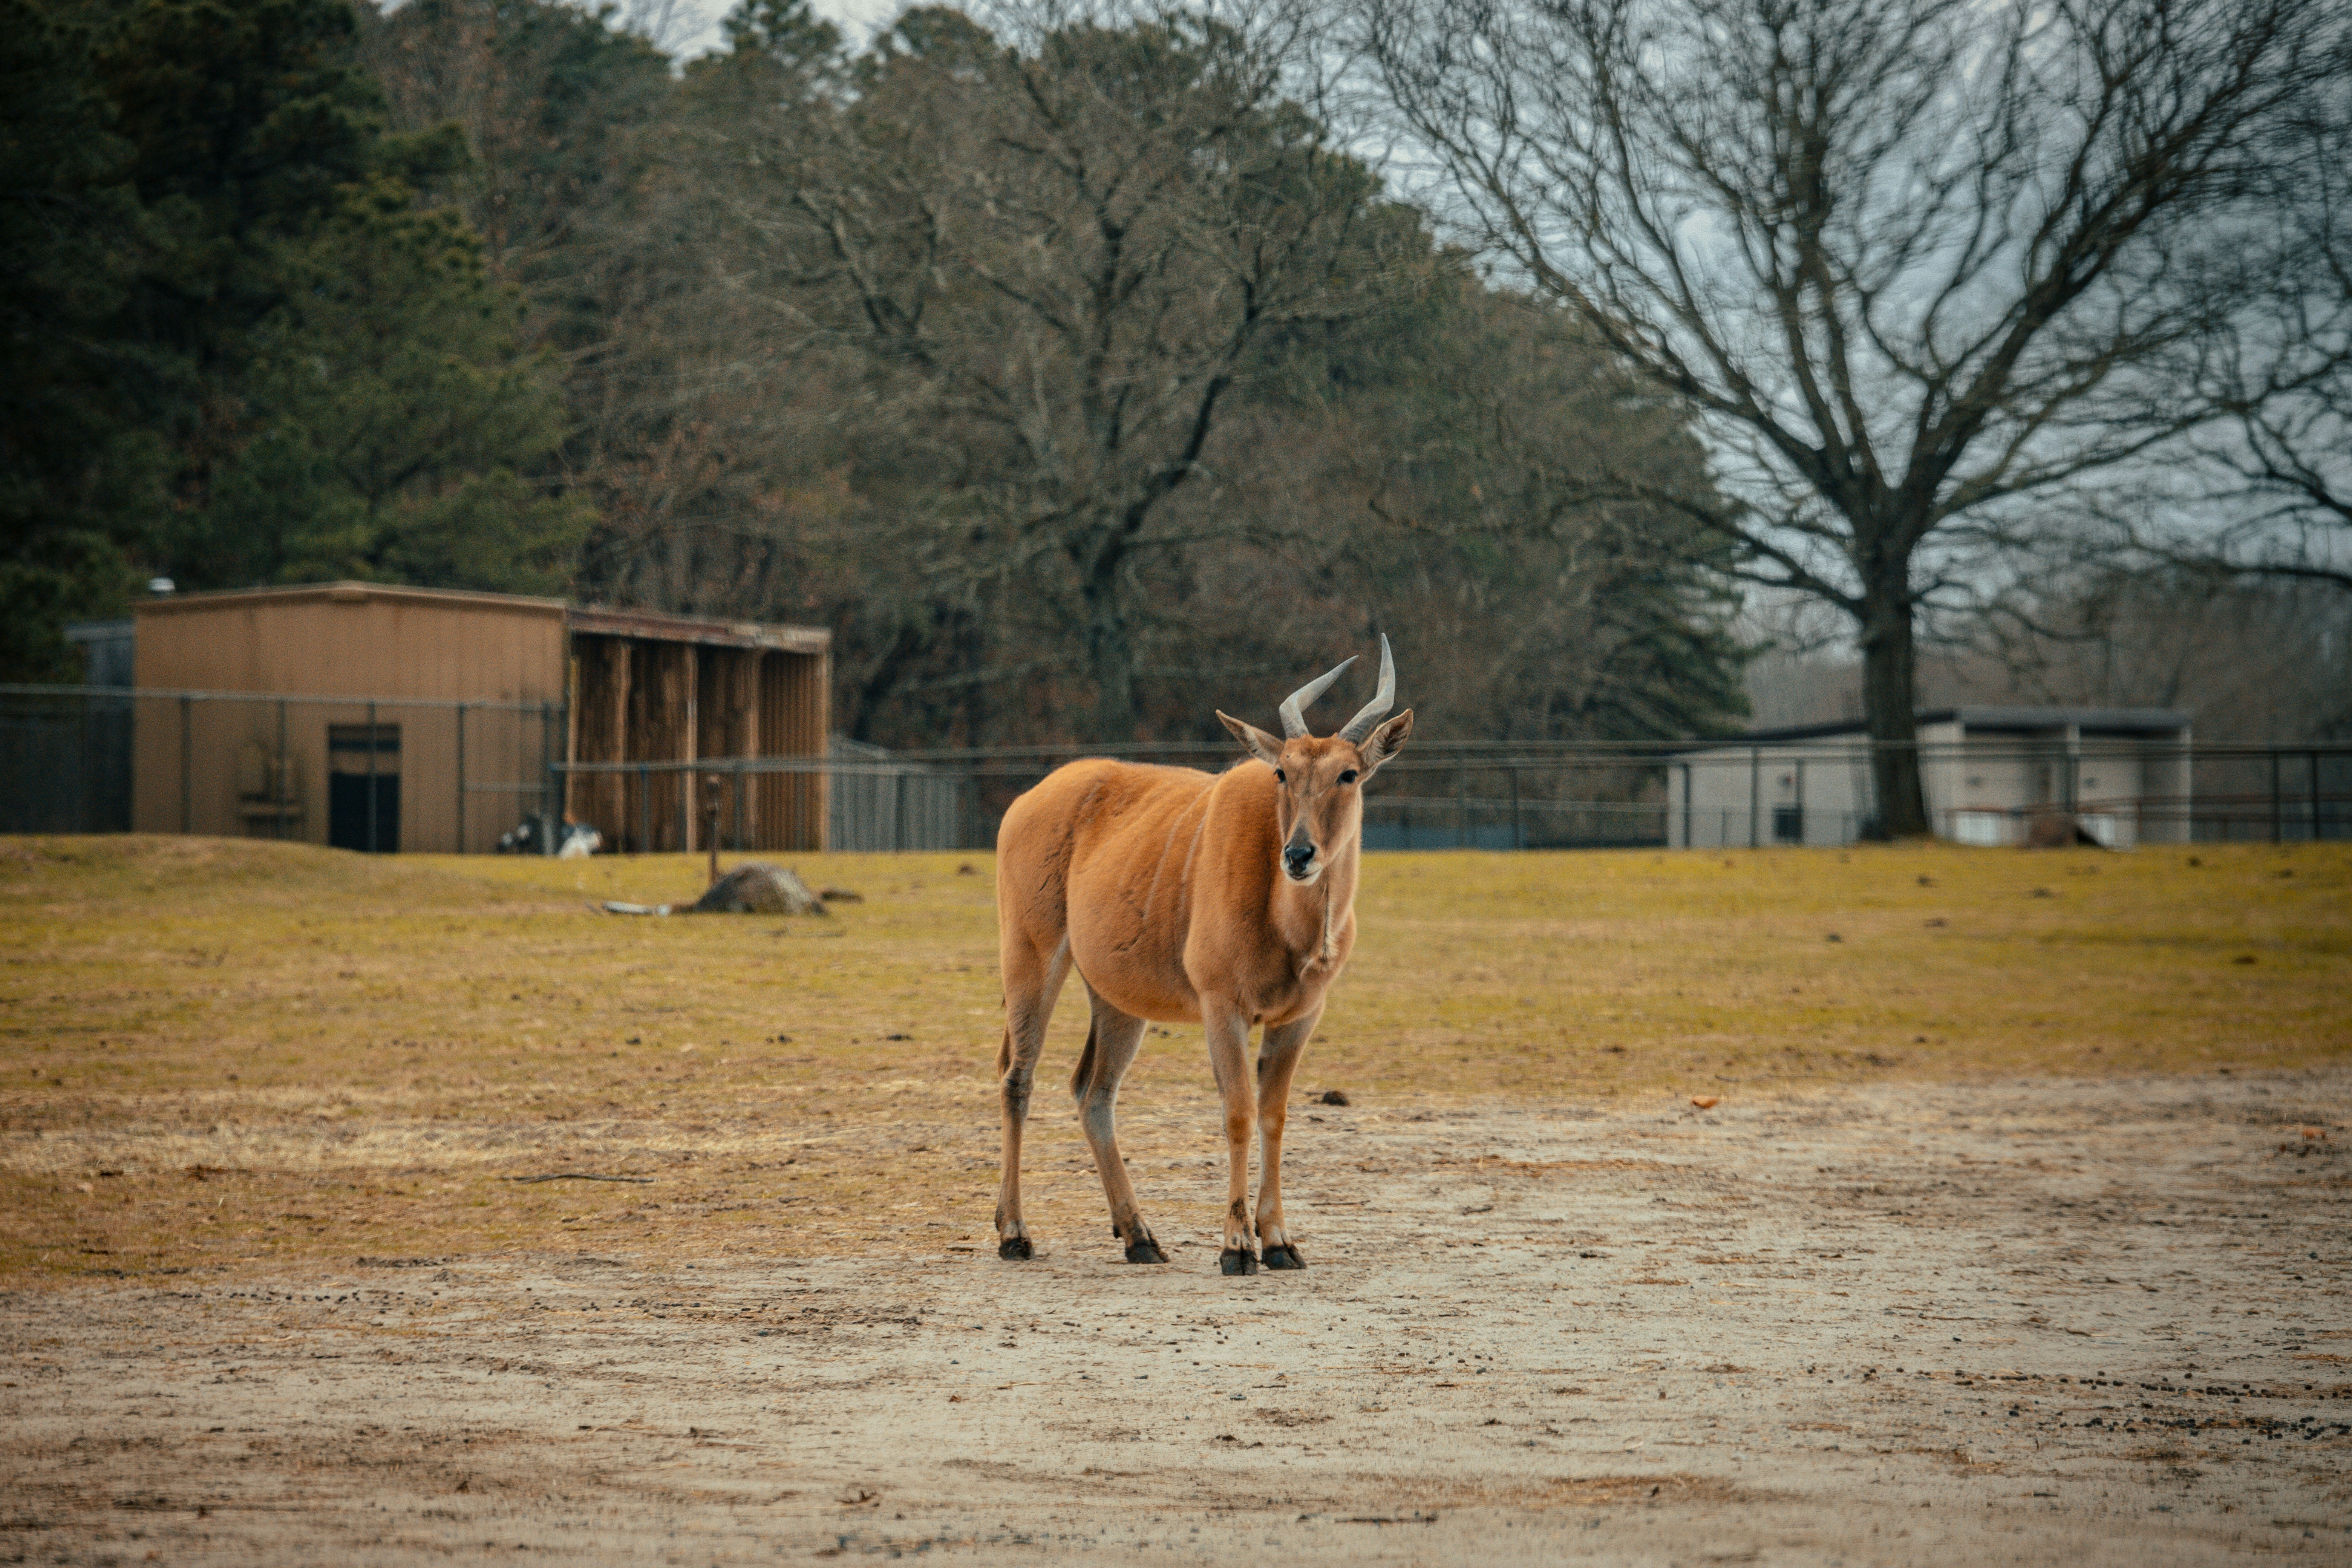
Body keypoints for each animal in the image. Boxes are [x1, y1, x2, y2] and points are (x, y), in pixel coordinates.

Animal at [991, 637, 1413, 1275]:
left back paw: (1139, 1236)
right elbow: (1238, 1112)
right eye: (1283, 772)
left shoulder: (1300, 1019)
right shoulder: (1223, 1008)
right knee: (1019, 1080)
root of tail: (1027, 801)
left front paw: (1279, 1241)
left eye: (1349, 773)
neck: (1290, 927)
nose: (1299, 855)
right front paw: (1236, 1246)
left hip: (1118, 1001)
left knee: (1093, 1093)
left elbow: (1274, 1116)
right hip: (1032, 959)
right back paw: (1015, 1233)